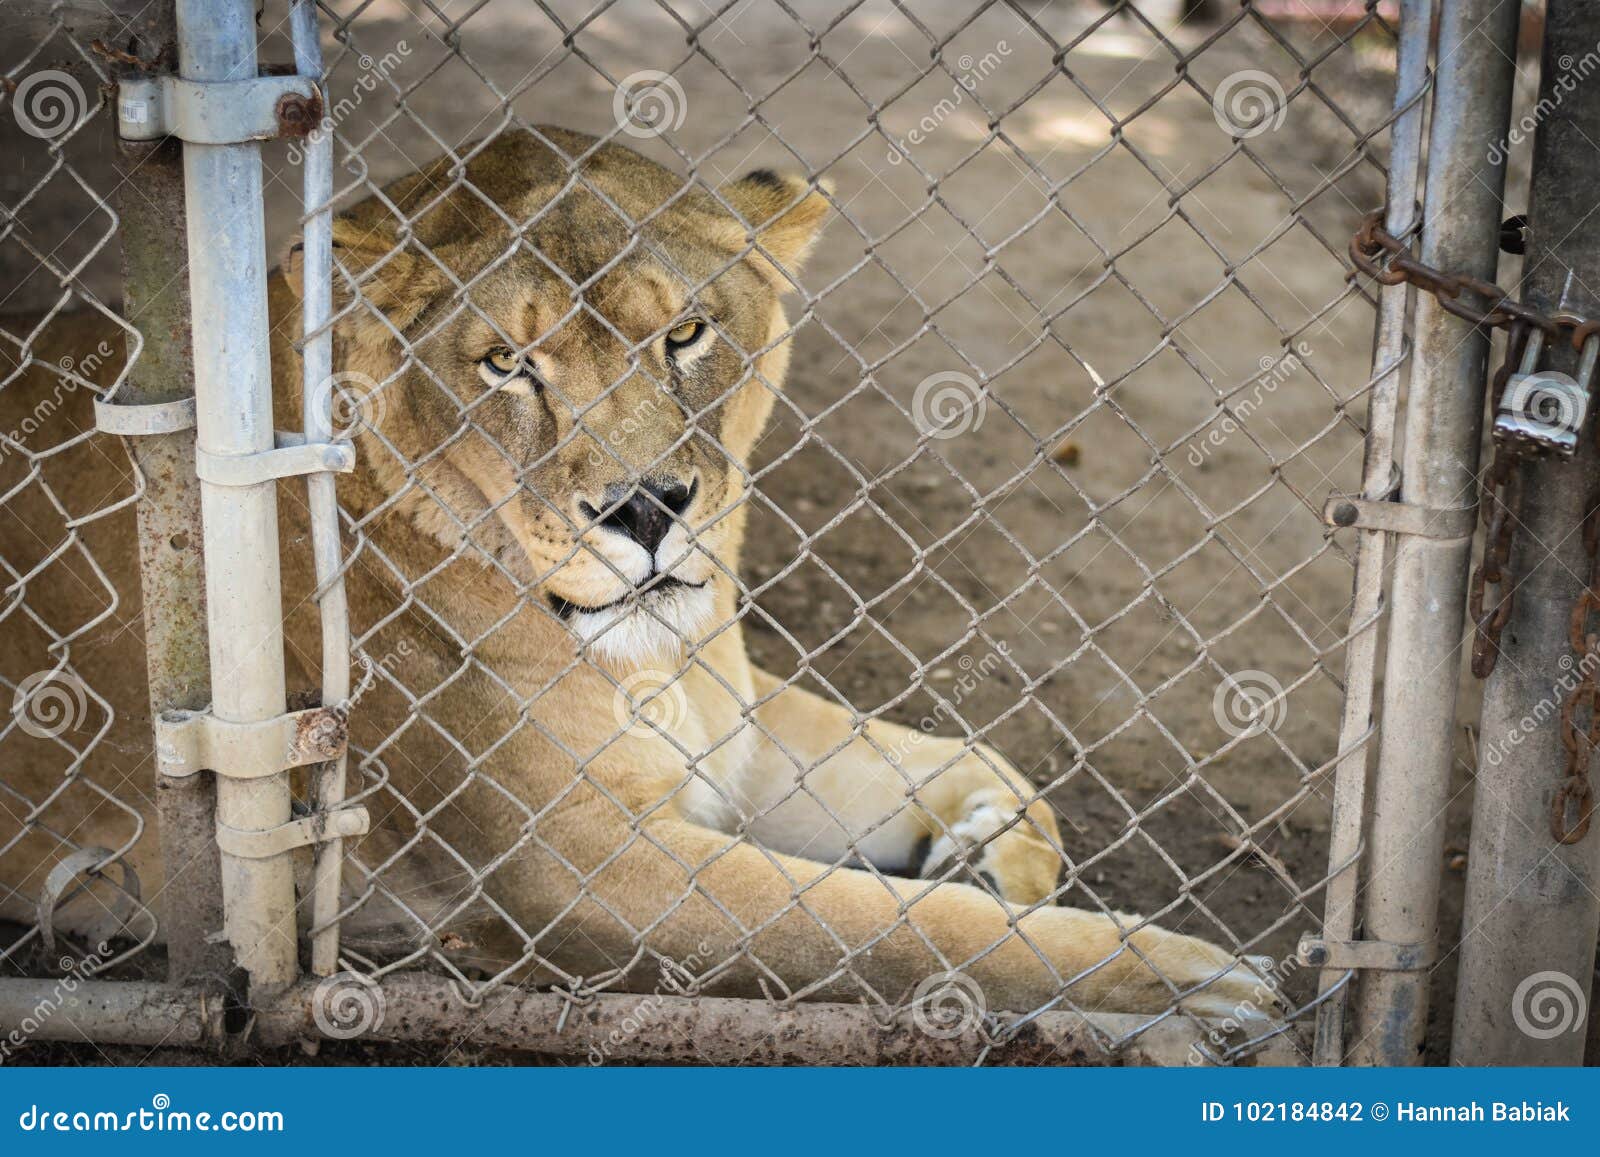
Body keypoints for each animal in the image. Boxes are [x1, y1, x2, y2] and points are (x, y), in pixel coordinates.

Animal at [1, 127, 1275, 1024]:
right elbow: (906, 929)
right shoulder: (578, 873)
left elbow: (972, 766)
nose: (645, 508)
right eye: (508, 364)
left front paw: (992, 846)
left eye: (685, 335)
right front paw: (1191, 979)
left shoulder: (732, 732)